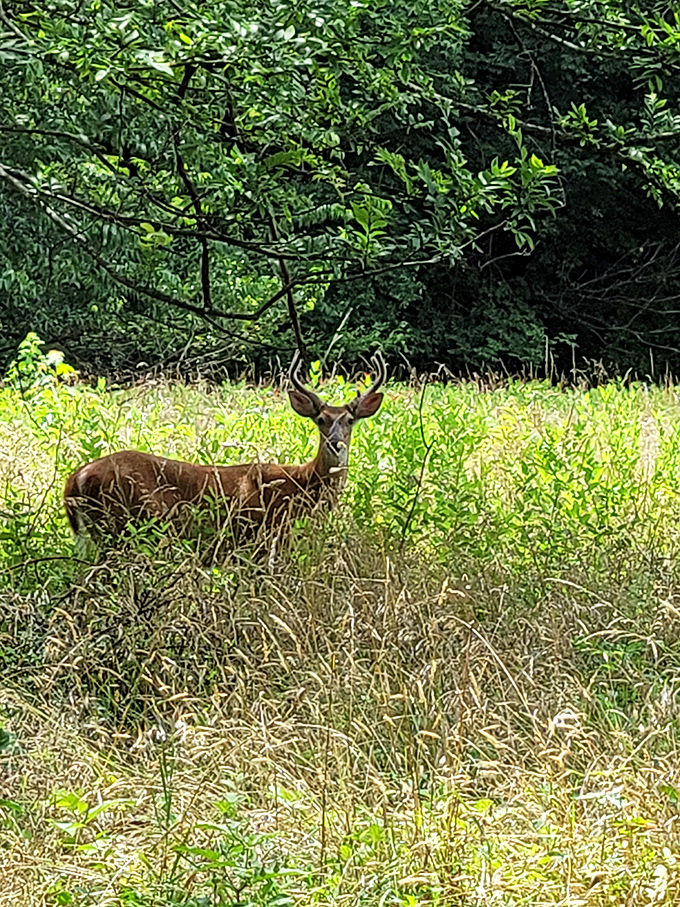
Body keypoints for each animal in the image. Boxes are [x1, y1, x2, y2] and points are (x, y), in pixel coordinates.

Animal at [63, 352, 386, 550]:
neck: (300, 484)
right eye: (320, 420)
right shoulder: (266, 532)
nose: (336, 443)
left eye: (349, 421)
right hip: (127, 523)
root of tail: (76, 479)